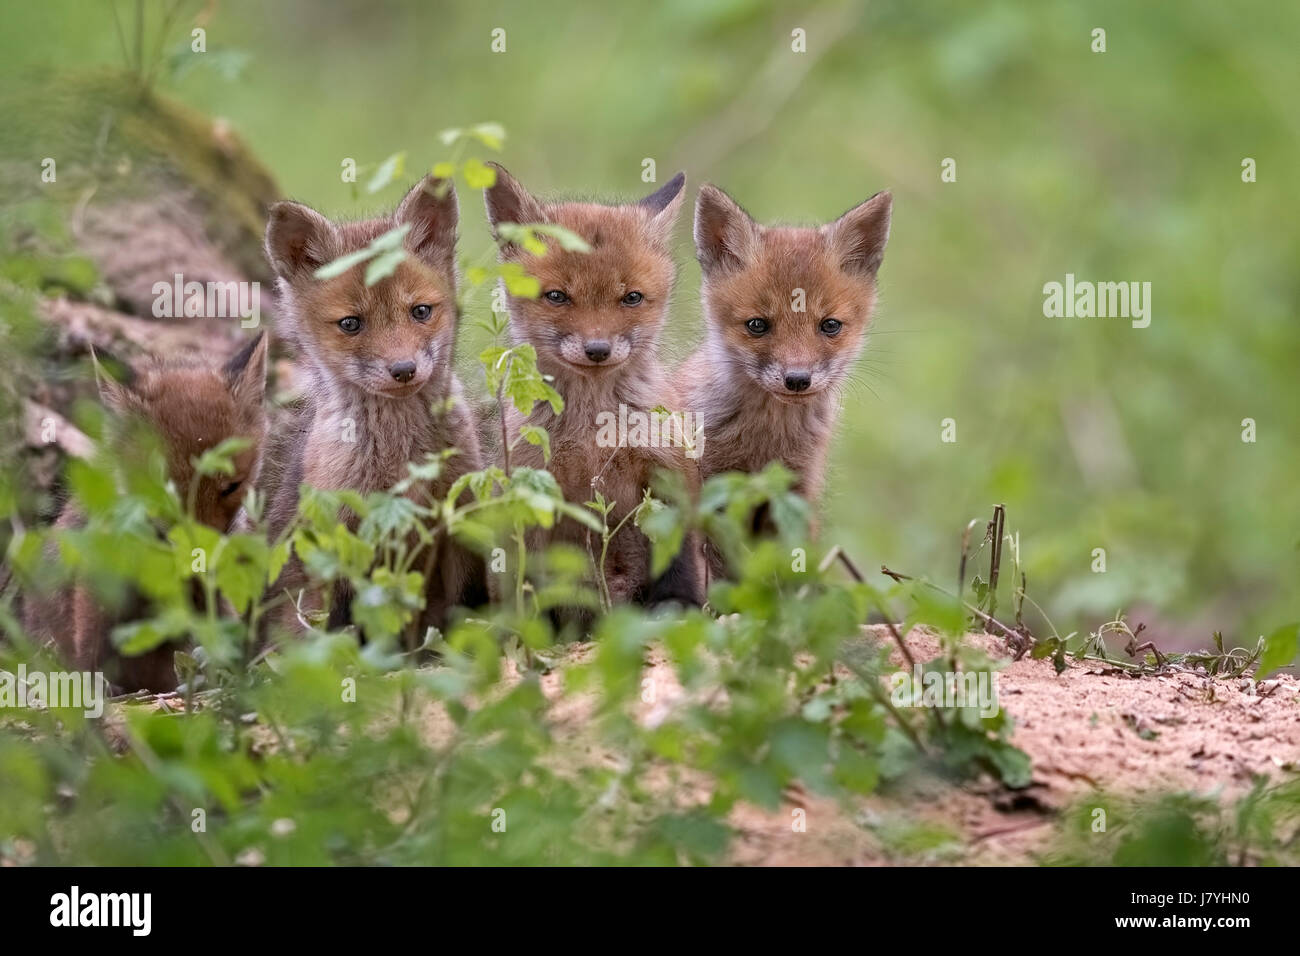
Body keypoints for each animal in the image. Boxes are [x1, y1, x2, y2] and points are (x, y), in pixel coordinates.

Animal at [262, 175, 486, 635]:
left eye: (421, 311)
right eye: (351, 323)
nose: (403, 370)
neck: (399, 460)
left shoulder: (456, 521)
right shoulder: (328, 540)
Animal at [482, 165, 705, 612]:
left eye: (631, 298)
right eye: (557, 296)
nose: (598, 350)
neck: (591, 433)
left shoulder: (669, 477)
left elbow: (679, 567)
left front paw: (682, 607)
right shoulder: (534, 489)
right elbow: (523, 585)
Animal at [679, 183, 892, 577]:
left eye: (830, 325)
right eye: (757, 325)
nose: (797, 379)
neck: (768, 438)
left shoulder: (796, 492)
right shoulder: (711, 493)